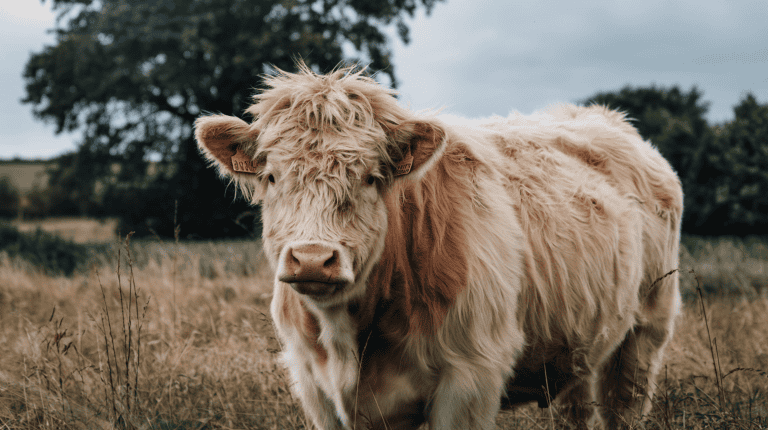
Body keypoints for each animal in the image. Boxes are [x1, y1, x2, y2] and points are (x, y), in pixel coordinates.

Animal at [194, 63, 683, 429]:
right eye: (272, 177)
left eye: (370, 178)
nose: (313, 259)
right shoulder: (317, 389)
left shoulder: (470, 379)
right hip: (579, 345)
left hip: (644, 334)